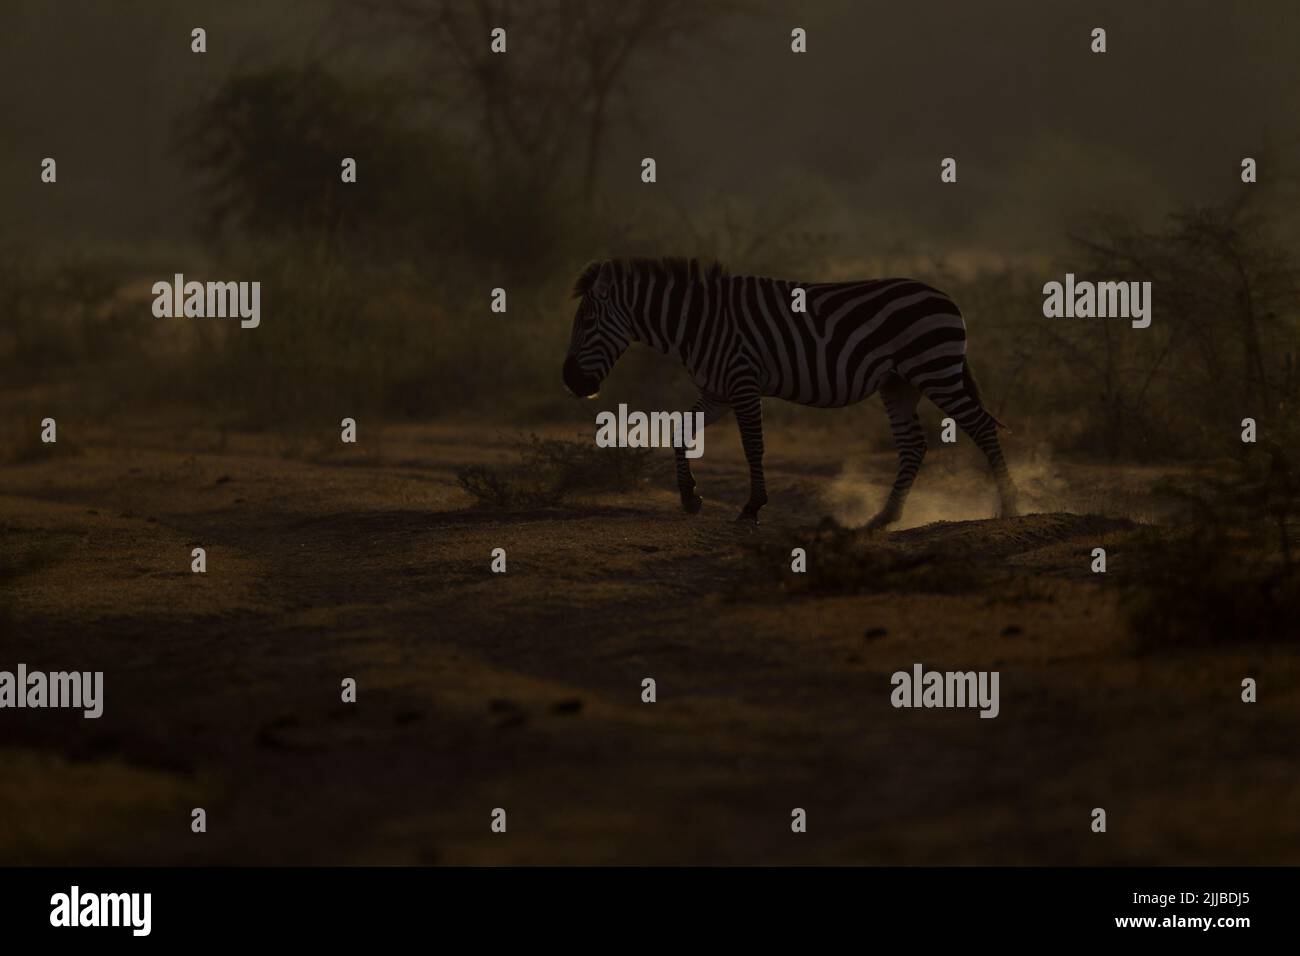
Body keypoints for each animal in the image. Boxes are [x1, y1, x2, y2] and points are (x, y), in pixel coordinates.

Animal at [561, 257, 1018, 526]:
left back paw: (1009, 507)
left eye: (586, 322)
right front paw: (690, 498)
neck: (698, 323)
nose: (570, 382)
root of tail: (948, 298)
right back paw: (885, 516)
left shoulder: (742, 381)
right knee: (913, 445)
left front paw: (752, 507)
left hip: (934, 369)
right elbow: (679, 430)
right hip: (899, 383)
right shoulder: (718, 391)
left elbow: (753, 446)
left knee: (981, 428)